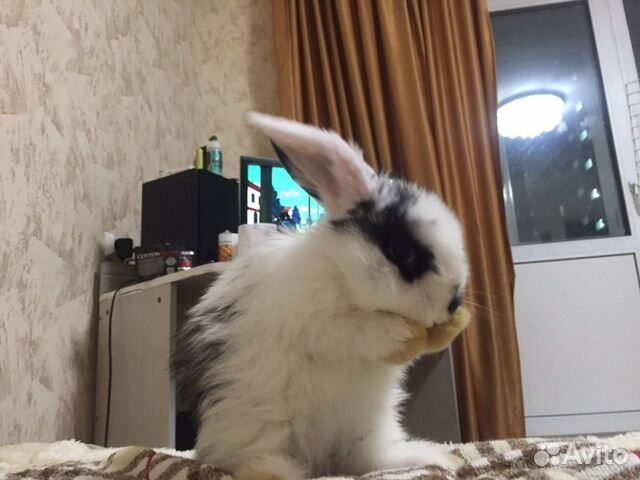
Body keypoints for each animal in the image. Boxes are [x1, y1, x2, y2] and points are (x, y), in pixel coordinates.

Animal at [173, 113, 470, 480]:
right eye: (401, 250)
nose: (453, 303)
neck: (343, 274)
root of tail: (324, 461)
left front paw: (448, 329)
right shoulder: (312, 322)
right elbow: (353, 332)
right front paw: (404, 334)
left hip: (369, 427)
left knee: (367, 460)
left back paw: (438, 459)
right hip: (259, 425)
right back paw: (271, 472)